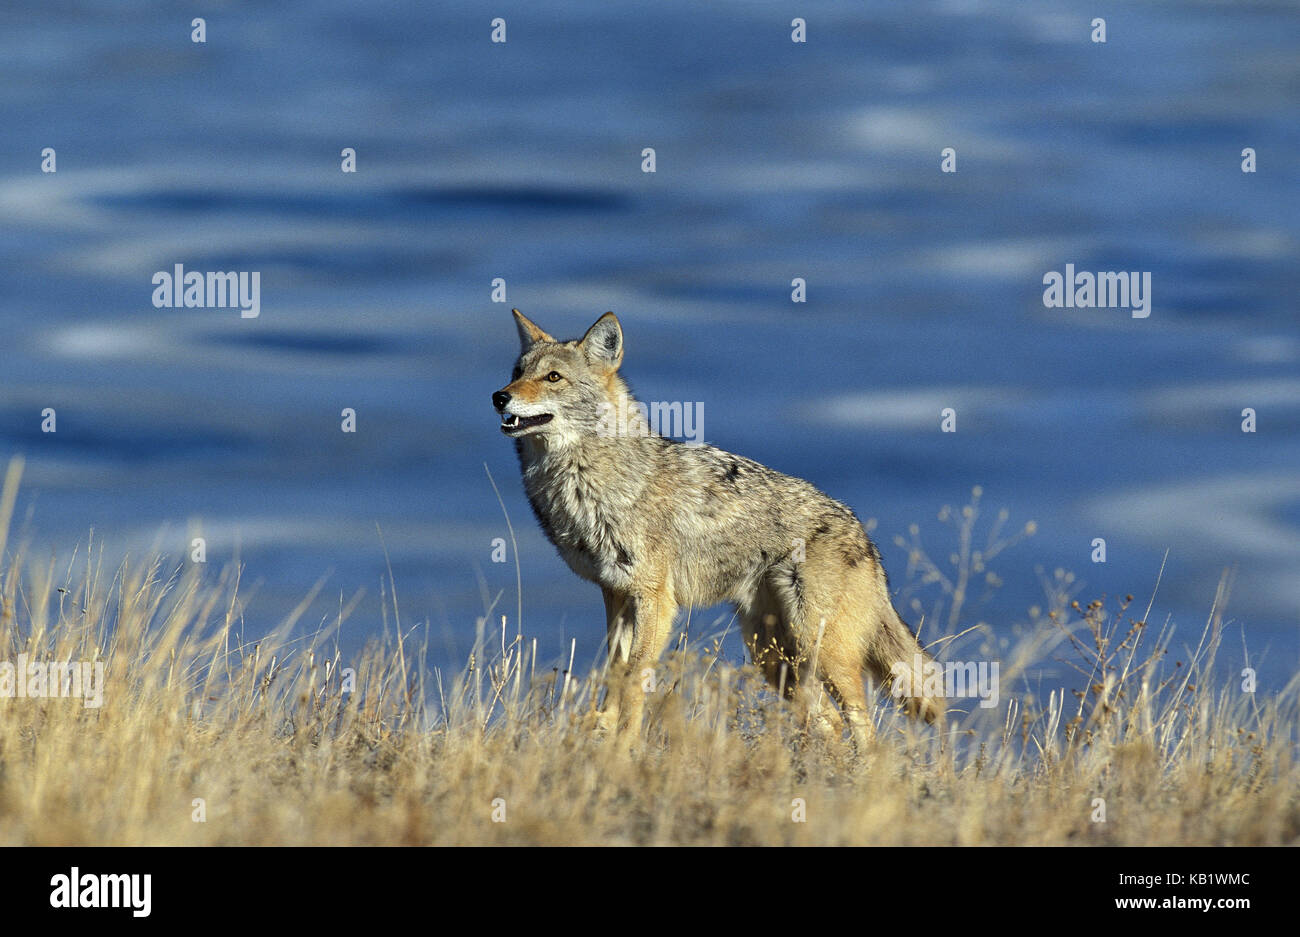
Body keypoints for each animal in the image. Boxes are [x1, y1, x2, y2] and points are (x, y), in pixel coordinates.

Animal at [493, 309, 943, 747]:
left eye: (553, 377)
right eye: (517, 371)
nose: (499, 396)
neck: (586, 481)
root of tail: (866, 538)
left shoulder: (655, 600)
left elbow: (635, 680)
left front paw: (623, 749)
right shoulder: (615, 594)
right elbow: (615, 672)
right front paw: (601, 731)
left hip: (822, 652)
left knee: (865, 732)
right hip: (773, 657)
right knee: (828, 723)